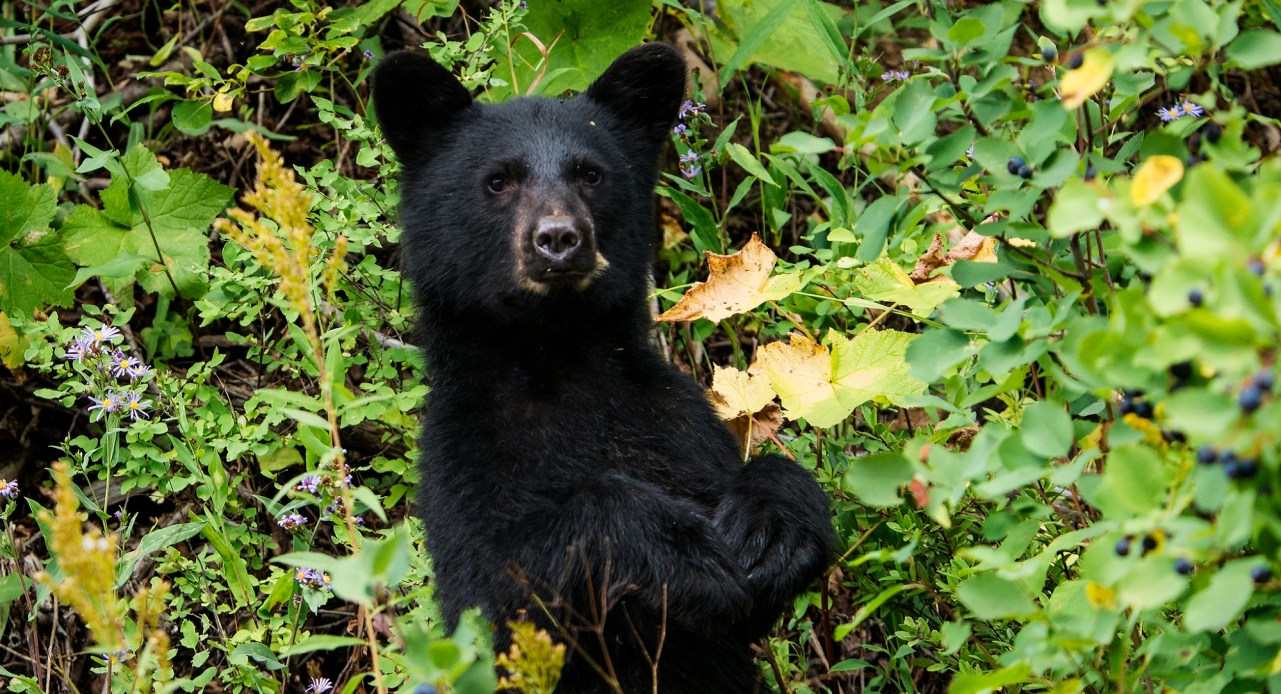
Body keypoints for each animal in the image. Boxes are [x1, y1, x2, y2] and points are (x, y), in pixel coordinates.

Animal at [371, 43, 836, 693]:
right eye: (498, 180)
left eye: (590, 173)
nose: (559, 239)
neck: (556, 355)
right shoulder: (466, 454)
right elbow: (502, 579)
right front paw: (679, 549)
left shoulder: (671, 422)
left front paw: (770, 530)